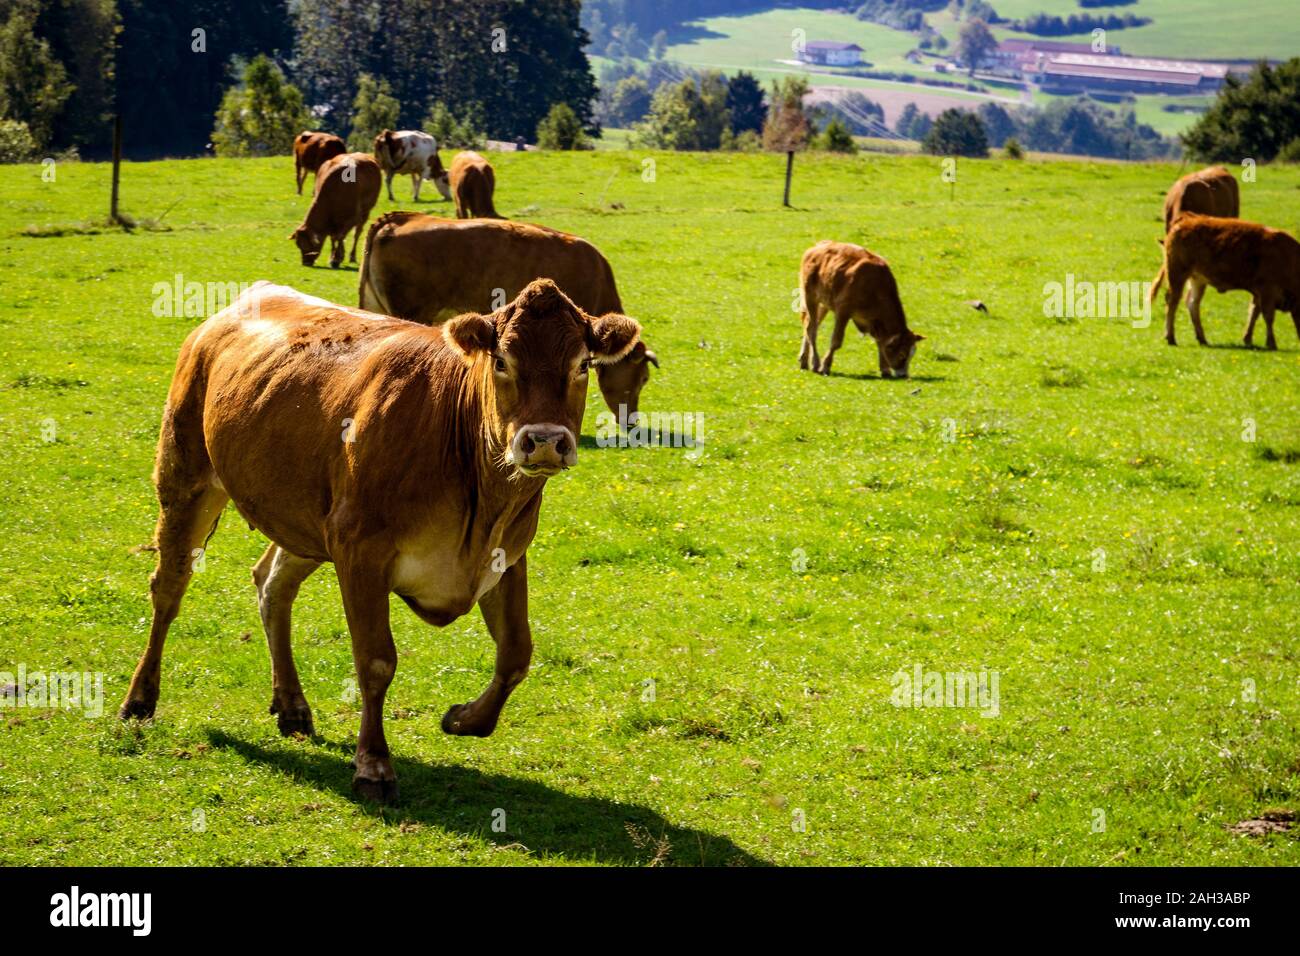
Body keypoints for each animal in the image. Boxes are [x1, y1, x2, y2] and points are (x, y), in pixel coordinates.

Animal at [118, 279, 643, 802]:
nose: (545, 441)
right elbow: (375, 660)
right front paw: (373, 764)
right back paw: (139, 700)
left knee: (272, 584)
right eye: (501, 361)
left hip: (308, 522)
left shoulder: (506, 555)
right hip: (185, 476)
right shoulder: (359, 548)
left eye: (582, 365)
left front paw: (464, 719)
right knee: (168, 588)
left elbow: (516, 653)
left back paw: (292, 706)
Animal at [797, 240, 925, 379]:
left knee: (811, 325)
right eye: (902, 354)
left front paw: (885, 369)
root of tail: (817, 247)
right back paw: (815, 363)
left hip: (823, 303)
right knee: (811, 329)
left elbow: (880, 341)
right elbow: (836, 341)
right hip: (810, 297)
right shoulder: (843, 312)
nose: (903, 375)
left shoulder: (874, 322)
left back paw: (804, 360)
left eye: (912, 354)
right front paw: (825, 366)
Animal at [1149, 213, 1300, 350]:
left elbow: (1253, 313)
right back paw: (1171, 338)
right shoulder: (1267, 290)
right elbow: (1268, 316)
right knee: (1172, 302)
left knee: (1192, 303)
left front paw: (1248, 339)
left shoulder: (1259, 294)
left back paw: (1202, 339)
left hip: (1197, 280)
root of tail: (1186, 219)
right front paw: (1271, 343)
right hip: (1178, 275)